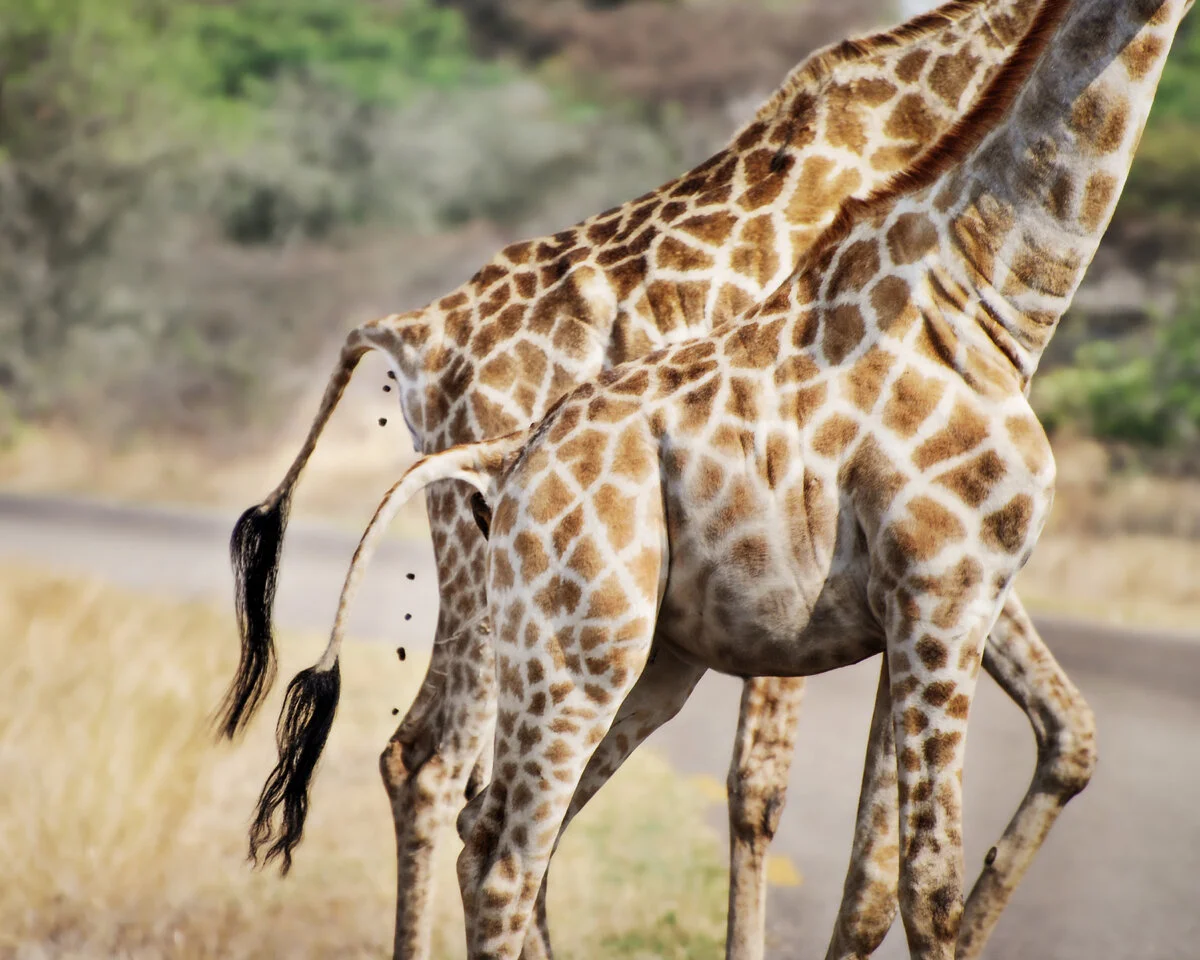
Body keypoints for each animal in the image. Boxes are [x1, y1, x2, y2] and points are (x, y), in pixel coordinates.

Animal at [293, 0, 1188, 954]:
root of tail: (416, 336)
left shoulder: (930, 596)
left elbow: (1028, 764)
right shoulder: (918, 586)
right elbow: (806, 815)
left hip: (617, 640)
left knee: (476, 808)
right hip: (555, 628)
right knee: (458, 794)